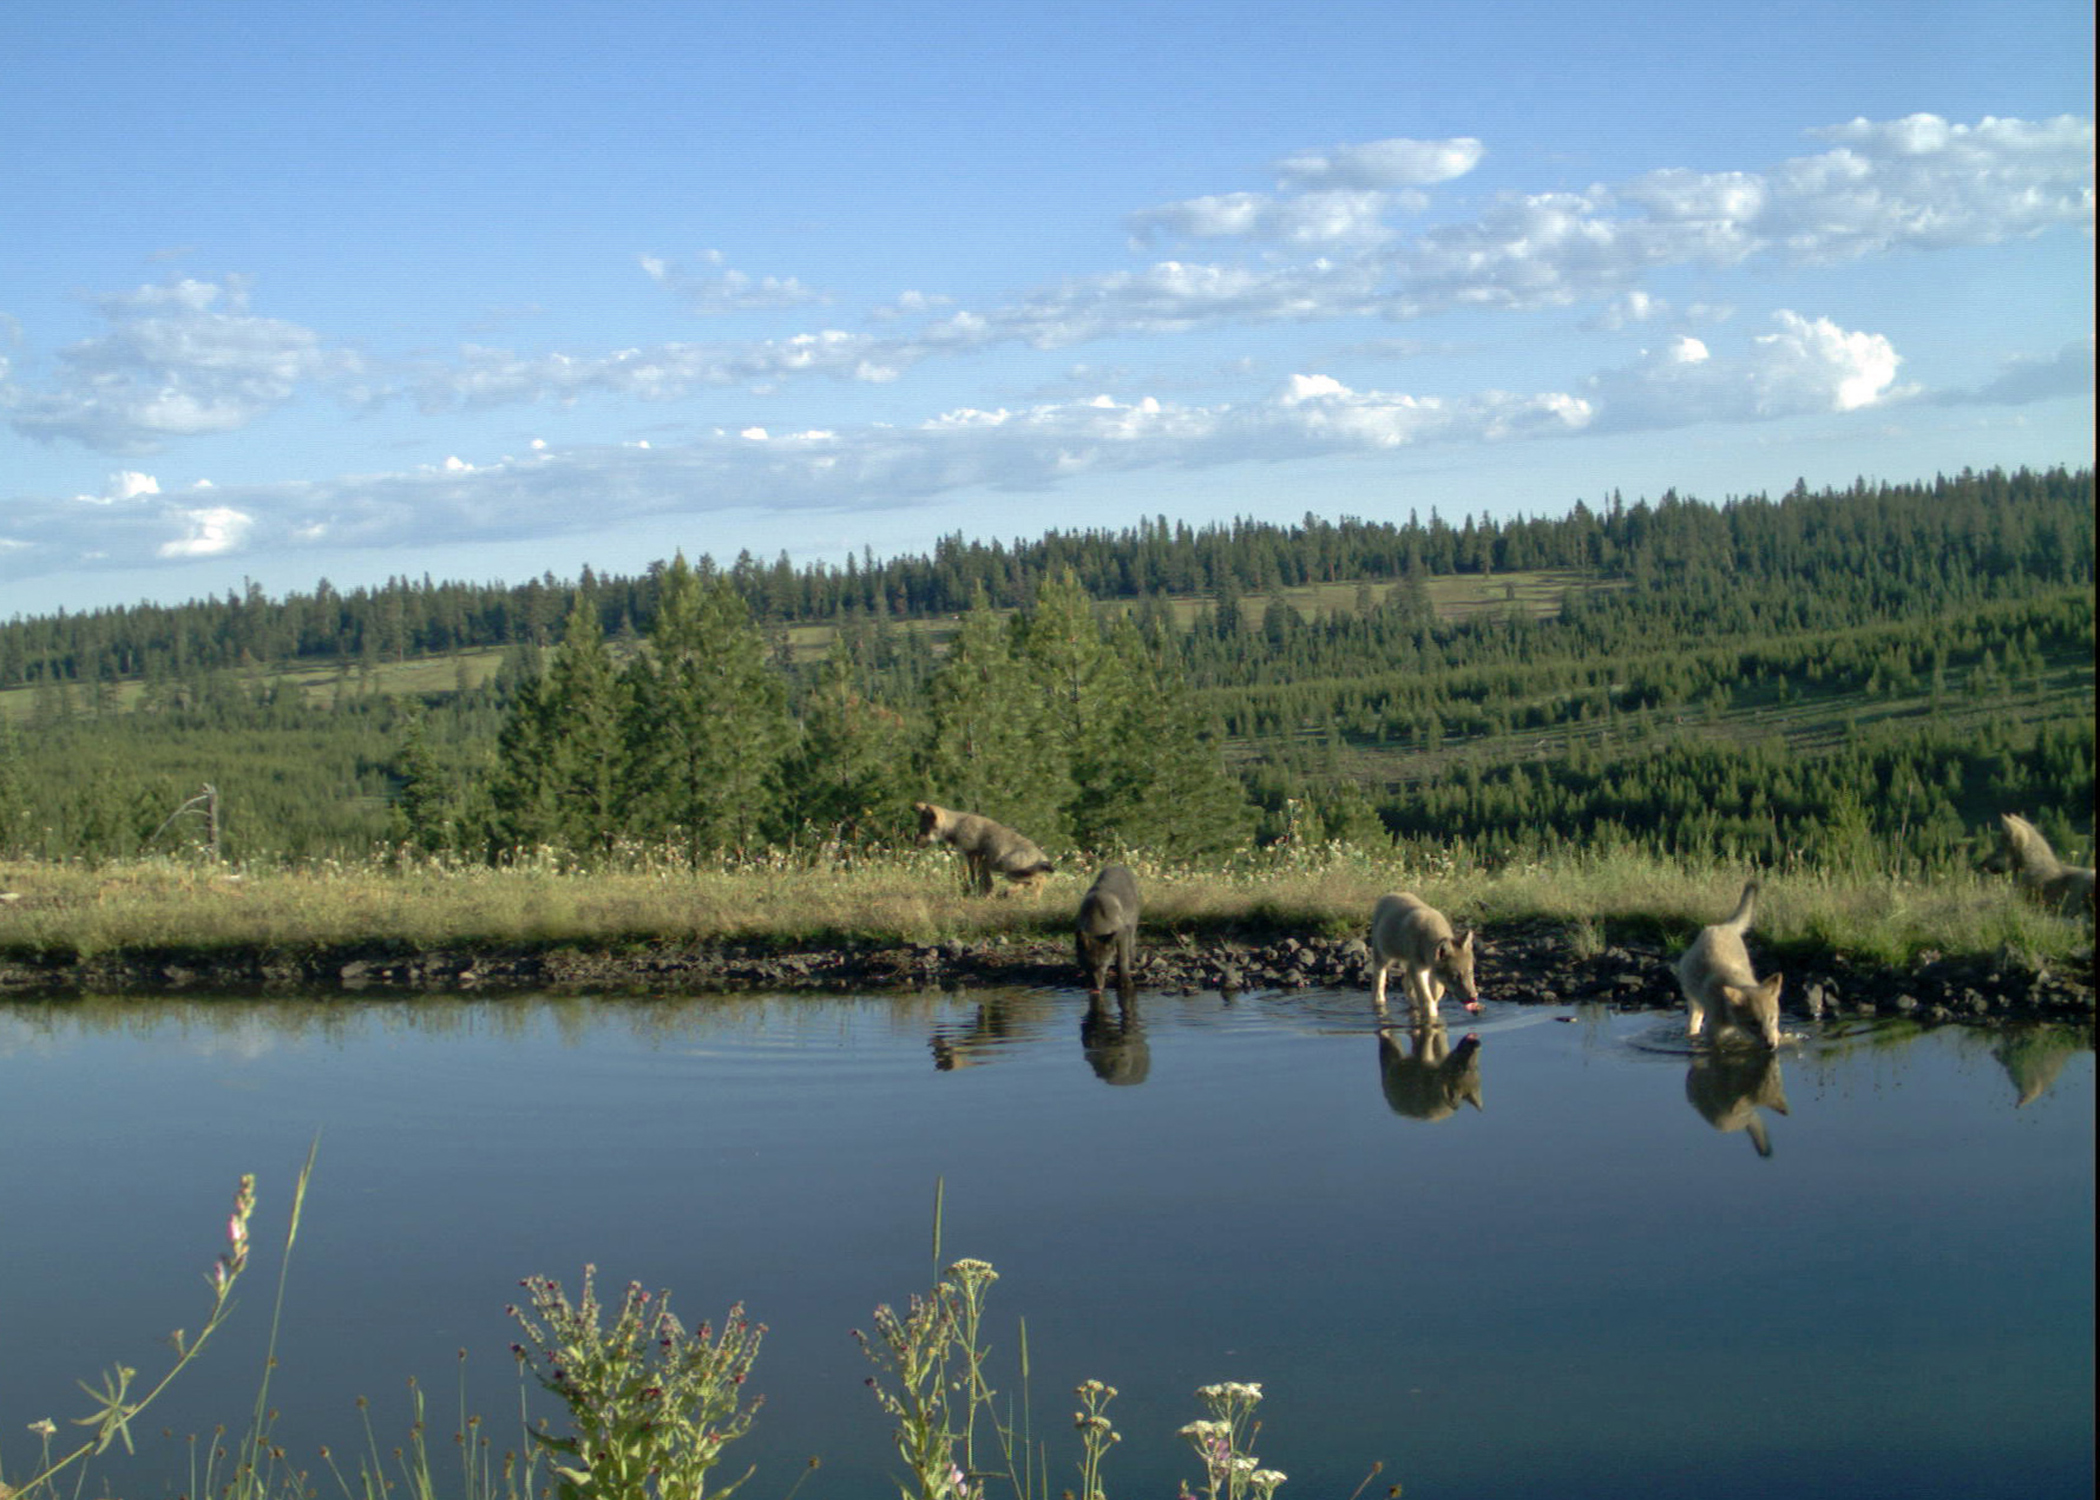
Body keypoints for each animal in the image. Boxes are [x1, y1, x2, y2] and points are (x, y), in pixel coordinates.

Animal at [913, 802, 1055, 896]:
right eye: (920, 826)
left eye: (925, 828)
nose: (916, 843)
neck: (957, 826)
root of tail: (1042, 858)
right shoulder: (981, 860)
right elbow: (985, 881)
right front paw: (983, 893)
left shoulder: (973, 854)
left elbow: (975, 877)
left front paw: (974, 891)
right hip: (1014, 874)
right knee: (1038, 881)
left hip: (1010, 872)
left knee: (1038, 881)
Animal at [1075, 863, 1140, 995]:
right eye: (1087, 966)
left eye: (1103, 965)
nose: (1096, 987)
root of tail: (1118, 866)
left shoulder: (1122, 933)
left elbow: (1122, 960)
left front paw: (1125, 982)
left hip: (1131, 928)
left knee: (1131, 947)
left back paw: (1132, 966)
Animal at [1368, 892, 1480, 1023]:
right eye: (1455, 976)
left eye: (1471, 972)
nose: (1473, 998)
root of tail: (1389, 895)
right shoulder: (1418, 970)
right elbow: (1426, 998)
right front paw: (1431, 1018)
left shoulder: (1430, 971)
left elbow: (1436, 993)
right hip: (1383, 960)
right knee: (1377, 987)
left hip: (1407, 965)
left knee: (1405, 984)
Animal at [1674, 881, 1784, 1050]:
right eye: (1754, 1023)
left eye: (1772, 1019)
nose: (1771, 1045)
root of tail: (1722, 927)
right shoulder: (1712, 1034)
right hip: (1693, 1001)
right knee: (1694, 1021)